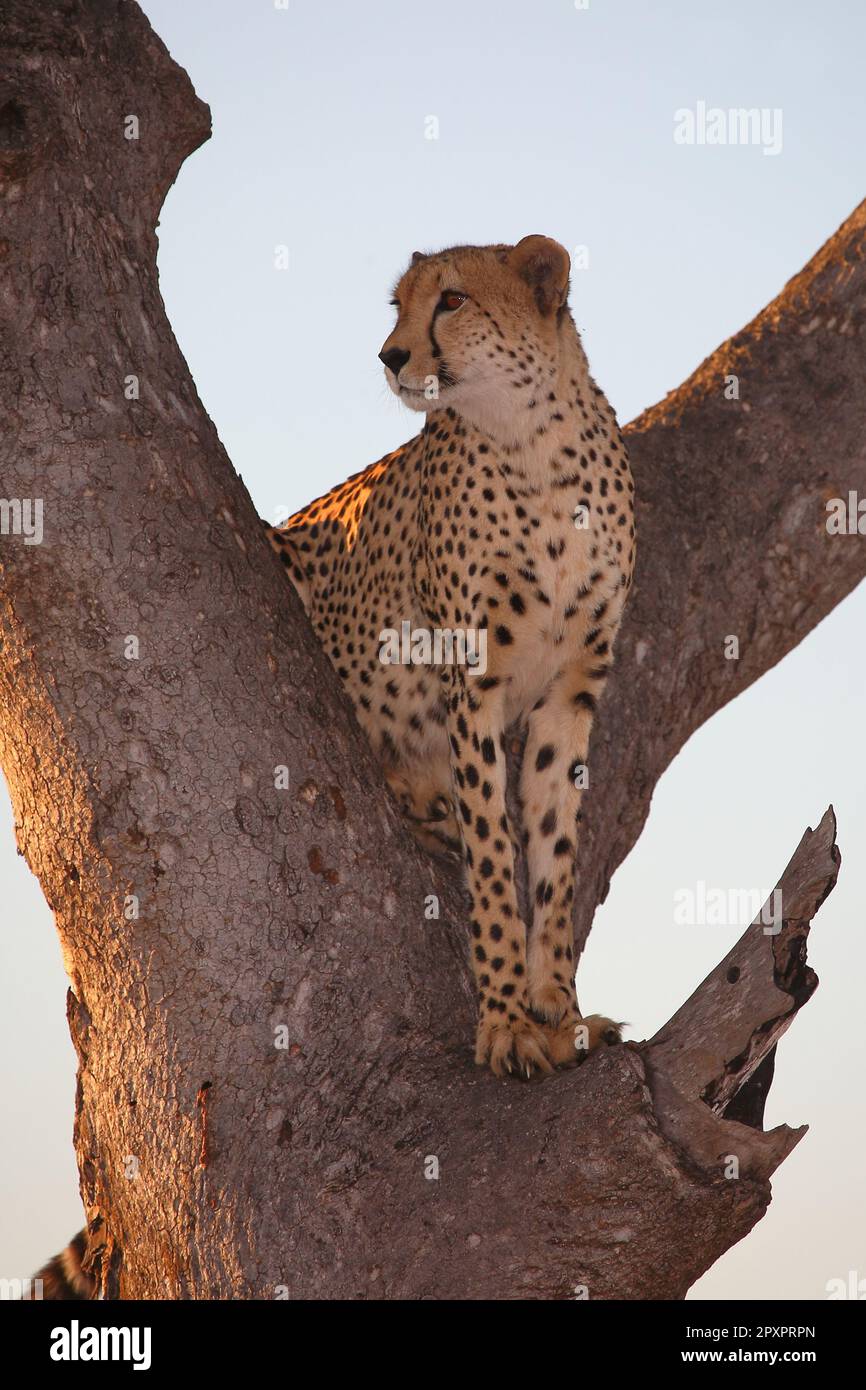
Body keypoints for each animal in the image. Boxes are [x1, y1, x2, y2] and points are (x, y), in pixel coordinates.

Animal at [266, 235, 635, 1079]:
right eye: (398, 304)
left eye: (454, 300)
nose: (390, 355)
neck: (534, 443)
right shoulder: (473, 684)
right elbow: (498, 859)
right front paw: (504, 1021)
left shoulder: (572, 689)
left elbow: (554, 854)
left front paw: (559, 1010)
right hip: (287, 548)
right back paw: (423, 799)